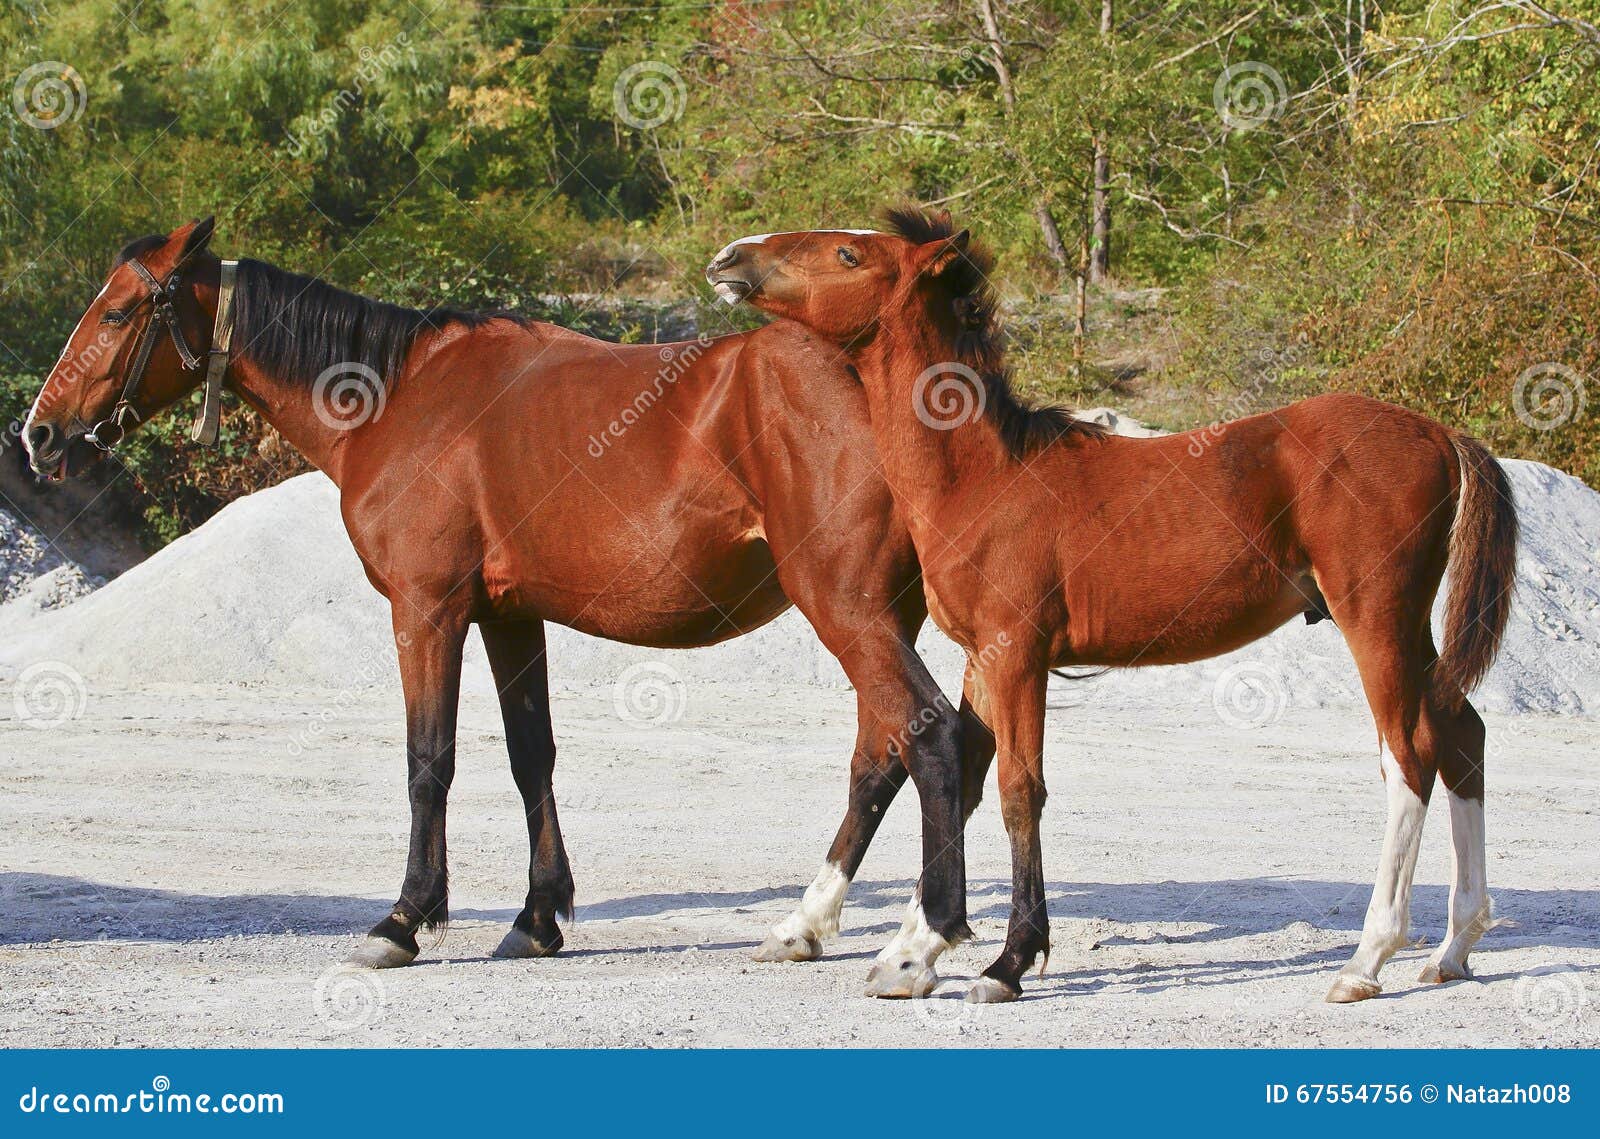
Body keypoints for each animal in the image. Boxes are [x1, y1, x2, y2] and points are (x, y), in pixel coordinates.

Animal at [22, 216, 985, 998]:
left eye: (117, 314)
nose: (37, 431)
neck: (398, 396)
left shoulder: (428, 610)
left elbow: (429, 762)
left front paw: (402, 921)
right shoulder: (509, 616)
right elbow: (532, 757)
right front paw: (537, 917)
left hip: (846, 608)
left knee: (932, 737)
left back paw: (921, 943)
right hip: (876, 614)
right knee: (881, 757)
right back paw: (807, 925)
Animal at [707, 206, 1519, 1003]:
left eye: (849, 254)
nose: (730, 257)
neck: (983, 474)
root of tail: (1442, 434)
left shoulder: (1018, 654)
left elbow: (1018, 791)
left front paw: (1006, 962)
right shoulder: (981, 658)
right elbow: (966, 777)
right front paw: (912, 954)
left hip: (1375, 619)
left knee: (1408, 759)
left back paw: (1367, 959)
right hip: (1411, 631)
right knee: (1463, 737)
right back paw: (1453, 948)